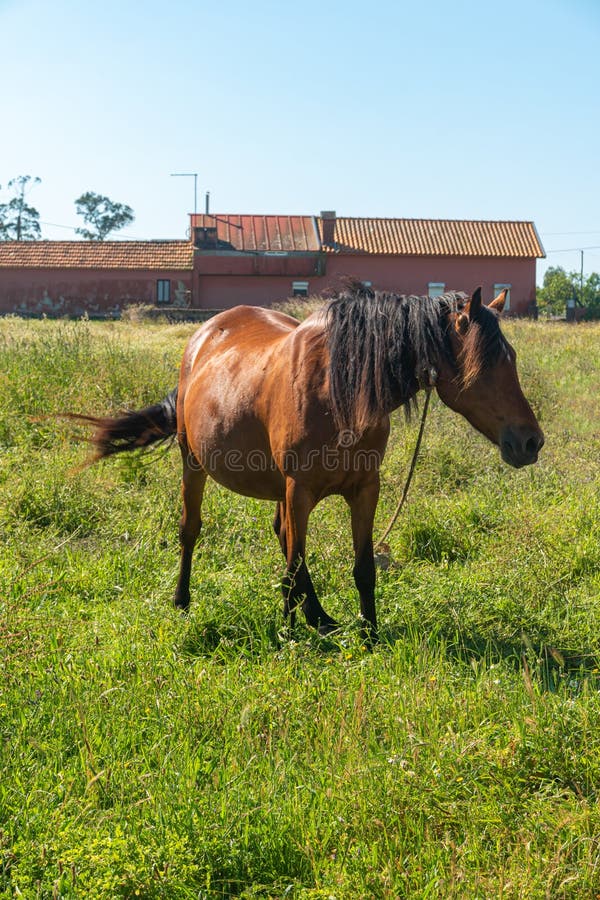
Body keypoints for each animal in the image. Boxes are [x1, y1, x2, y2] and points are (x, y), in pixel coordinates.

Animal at [70, 284, 544, 644]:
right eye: (485, 366)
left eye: (513, 360)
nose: (531, 441)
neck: (341, 391)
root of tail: (204, 334)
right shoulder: (299, 488)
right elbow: (295, 565)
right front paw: (303, 626)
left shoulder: (364, 490)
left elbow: (361, 567)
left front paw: (367, 632)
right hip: (195, 463)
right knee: (191, 529)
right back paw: (184, 601)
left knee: (283, 536)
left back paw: (304, 615)